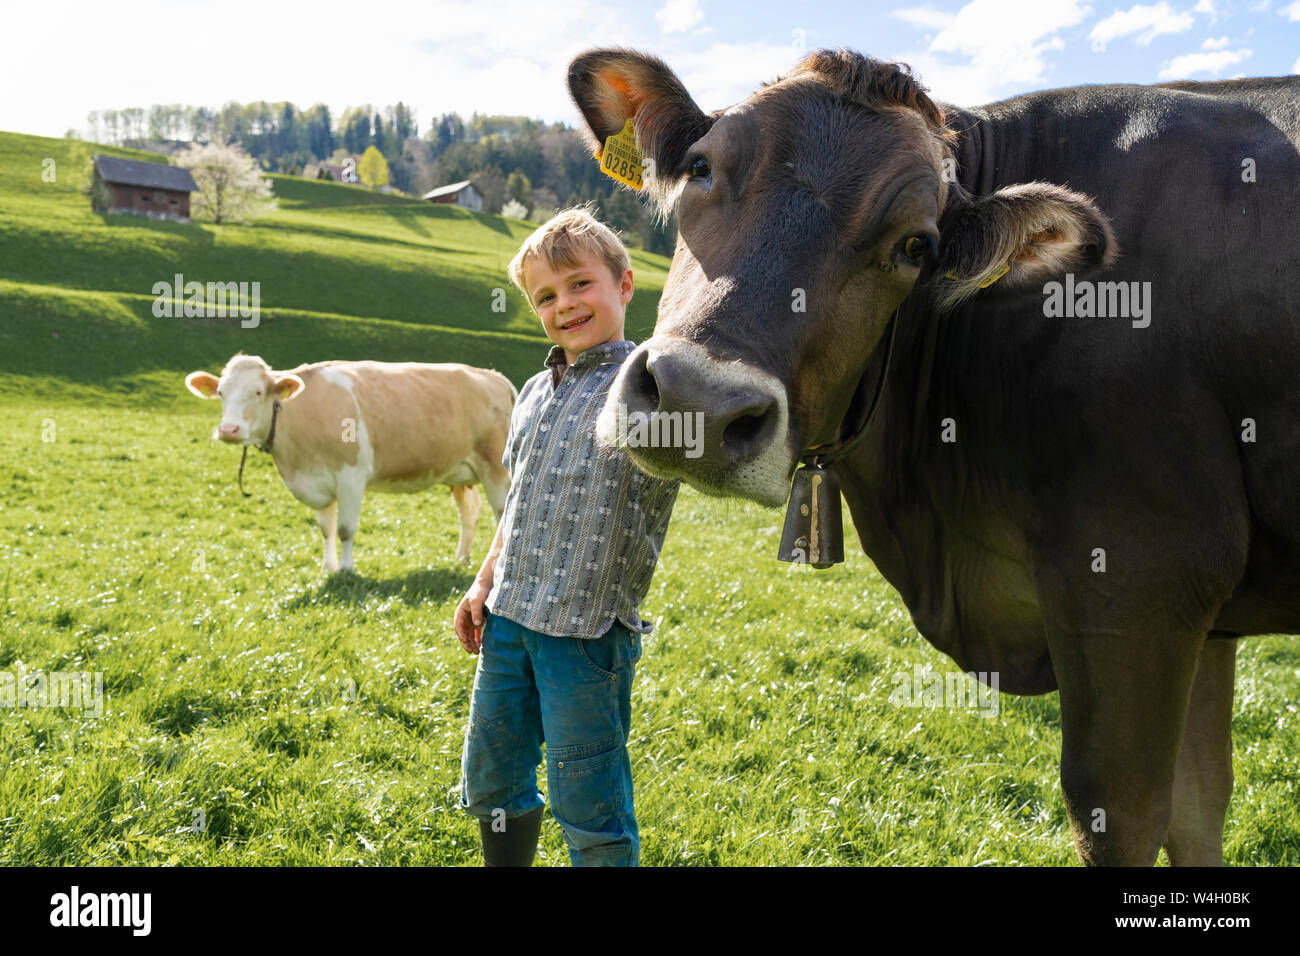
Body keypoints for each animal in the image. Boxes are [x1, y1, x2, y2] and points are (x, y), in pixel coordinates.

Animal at [185, 353, 515, 572]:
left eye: (257, 392)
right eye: (221, 392)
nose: (229, 430)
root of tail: (494, 376)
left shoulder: (350, 477)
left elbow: (345, 529)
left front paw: (346, 570)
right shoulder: (317, 480)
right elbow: (326, 528)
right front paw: (328, 568)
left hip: (495, 467)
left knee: (501, 514)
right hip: (460, 470)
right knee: (469, 514)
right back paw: (461, 559)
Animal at [567, 47, 1300, 866]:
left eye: (916, 246)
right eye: (700, 166)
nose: (698, 403)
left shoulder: (1145, 575)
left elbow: (1129, 814)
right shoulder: (1209, 618)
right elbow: (1199, 810)